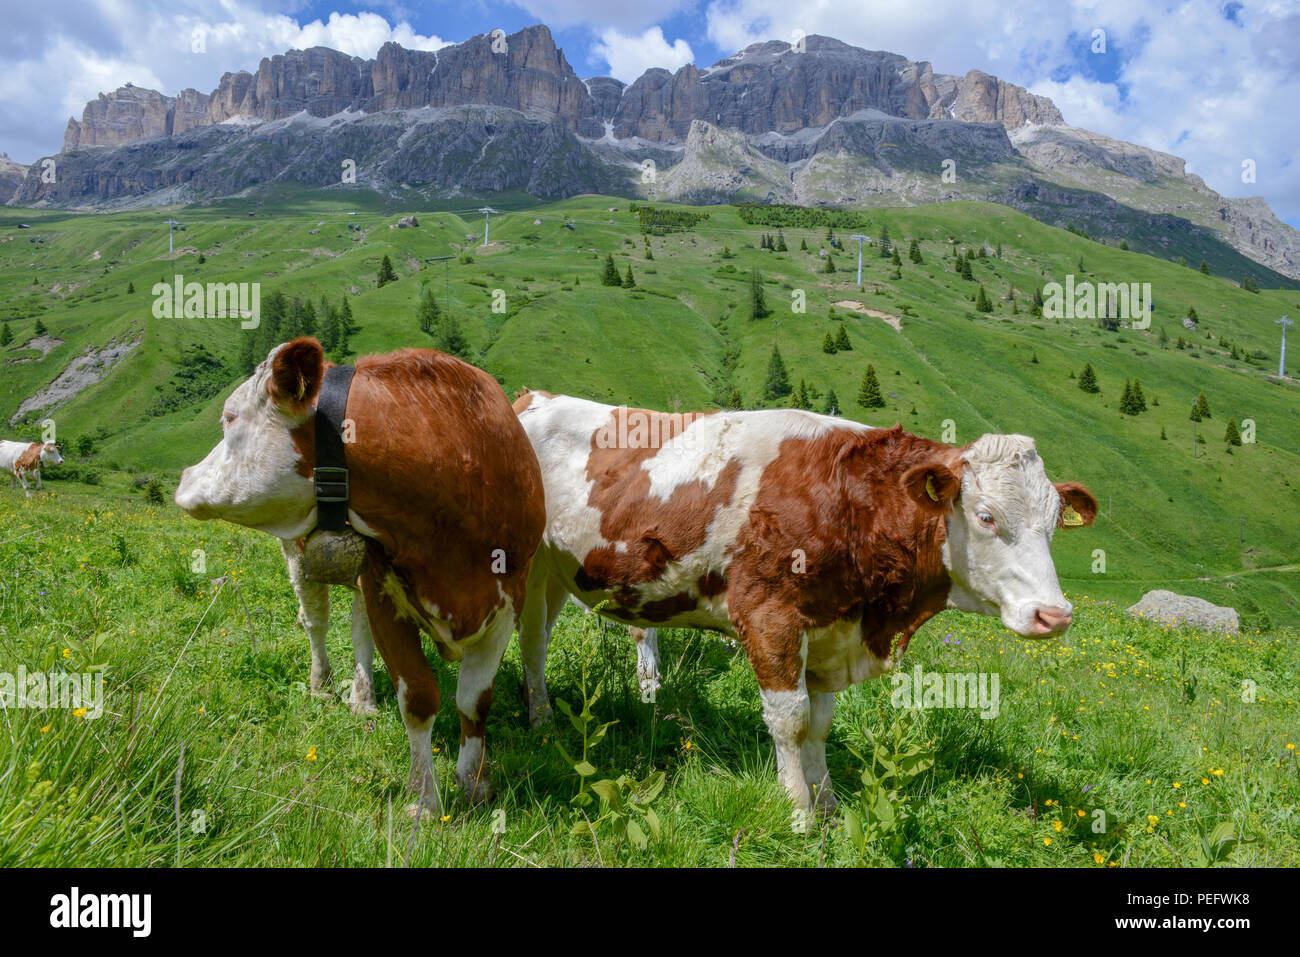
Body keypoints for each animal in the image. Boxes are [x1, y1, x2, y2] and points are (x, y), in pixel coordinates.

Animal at [176, 338, 546, 815]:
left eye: (228, 417)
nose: (184, 476)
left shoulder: (507, 602)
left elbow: (475, 701)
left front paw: (474, 784)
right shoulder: (385, 593)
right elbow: (419, 698)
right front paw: (424, 801)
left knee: (358, 630)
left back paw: (363, 697)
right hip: (298, 557)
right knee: (316, 623)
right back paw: (323, 686)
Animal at [511, 391, 1097, 814]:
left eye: (1053, 522)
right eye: (985, 516)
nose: (1054, 615)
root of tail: (533, 397)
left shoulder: (828, 631)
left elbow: (819, 724)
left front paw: (828, 807)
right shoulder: (770, 618)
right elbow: (790, 721)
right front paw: (799, 815)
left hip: (560, 568)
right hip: (528, 563)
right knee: (533, 641)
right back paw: (542, 721)